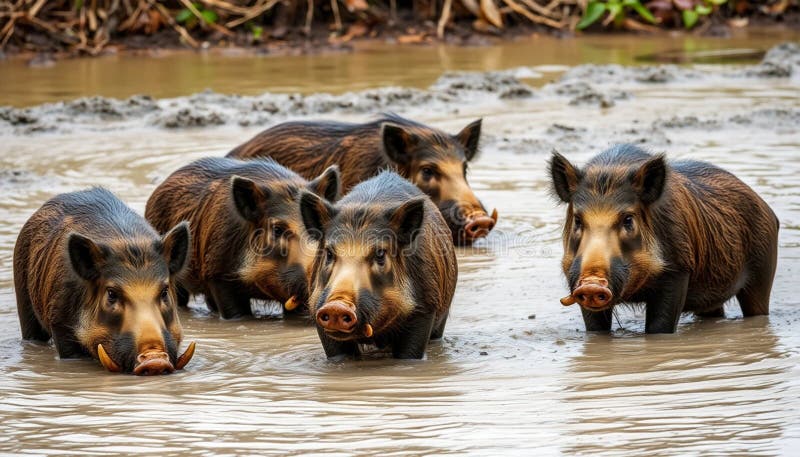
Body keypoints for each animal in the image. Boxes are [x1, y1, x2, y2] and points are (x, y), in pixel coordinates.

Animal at [549, 144, 779, 333]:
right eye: (578, 220)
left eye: (628, 219)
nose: (591, 284)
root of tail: (769, 211)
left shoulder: (678, 270)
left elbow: (659, 327)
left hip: (763, 270)